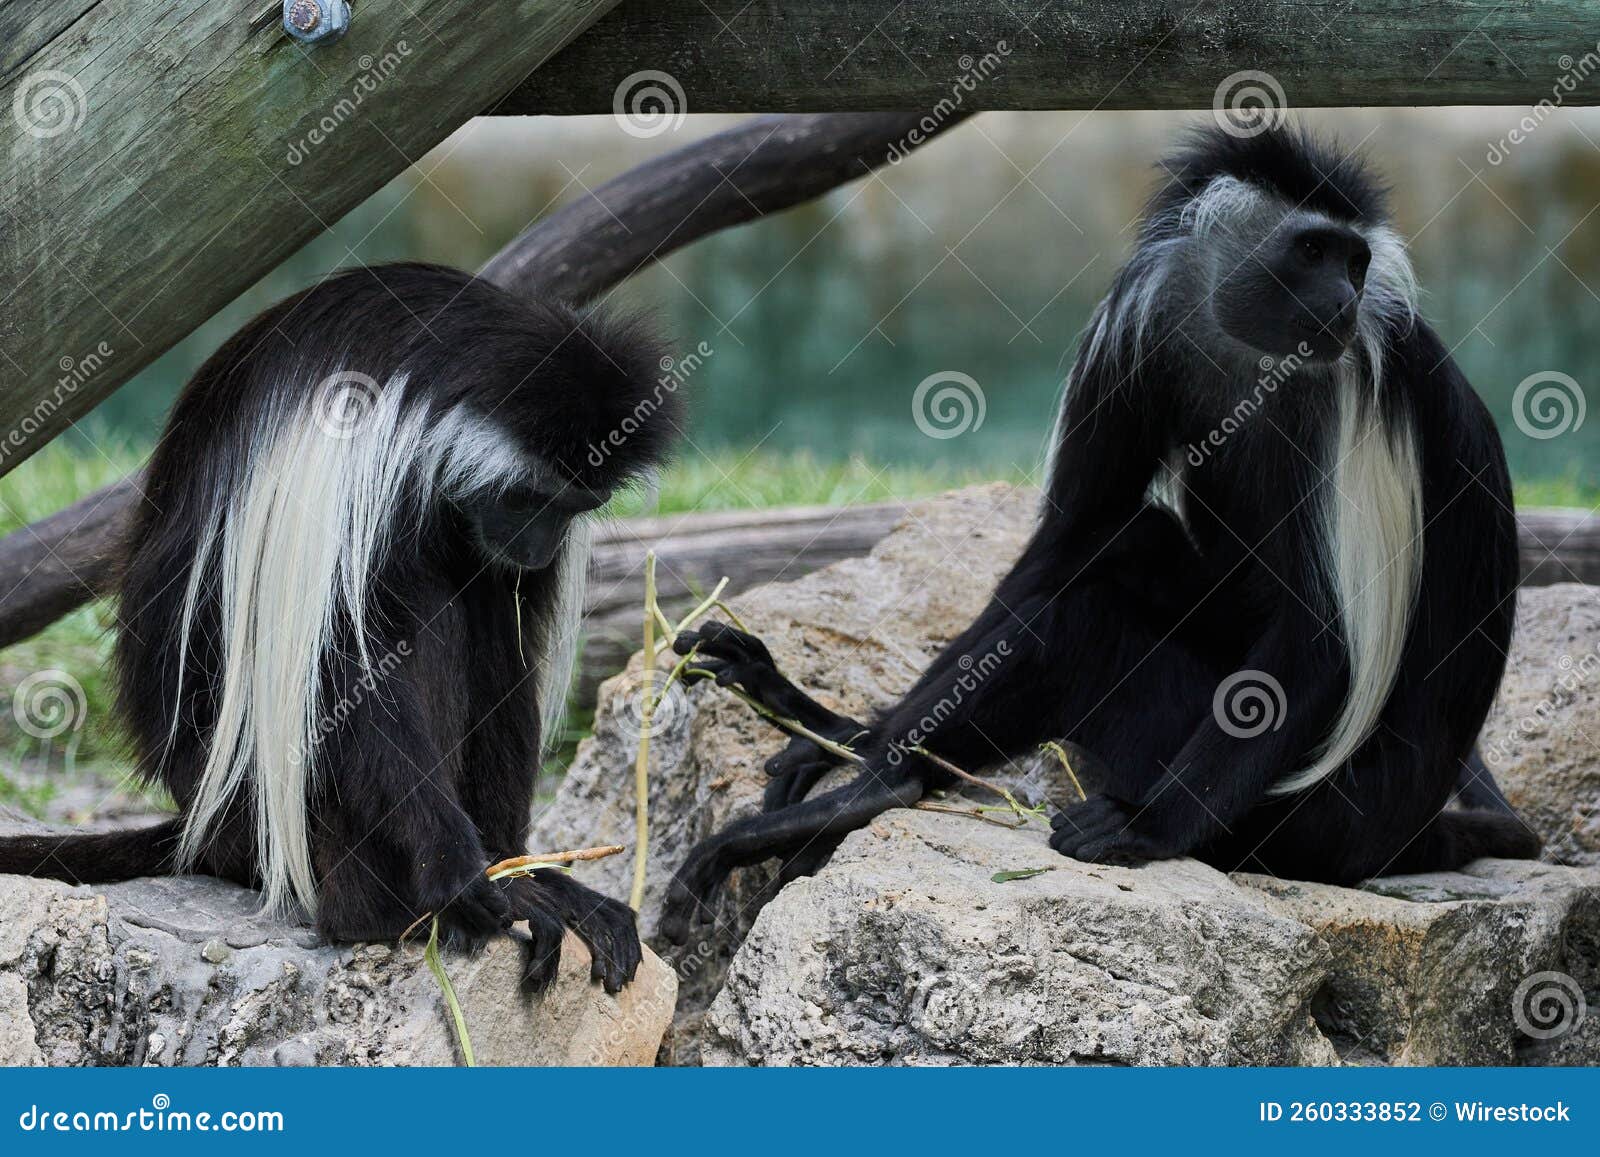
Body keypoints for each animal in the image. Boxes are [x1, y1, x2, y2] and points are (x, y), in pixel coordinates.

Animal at [0, 263, 679, 992]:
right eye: (532, 498)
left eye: (579, 506)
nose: (540, 547)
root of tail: (196, 825)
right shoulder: (364, 456)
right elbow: (346, 671)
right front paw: (455, 869)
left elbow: (506, 646)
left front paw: (525, 877)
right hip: (264, 811)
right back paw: (379, 911)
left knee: (483, 614)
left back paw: (524, 879)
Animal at [659, 124, 1541, 942]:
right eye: (1315, 250)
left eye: (1356, 262)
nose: (1343, 299)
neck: (1247, 348)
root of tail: (1400, 829)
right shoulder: (1142, 324)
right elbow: (1069, 536)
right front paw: (843, 727)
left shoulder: (1352, 391)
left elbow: (1317, 639)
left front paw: (1146, 829)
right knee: (1121, 543)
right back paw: (847, 751)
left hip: (1295, 810)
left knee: (1078, 628)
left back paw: (881, 789)